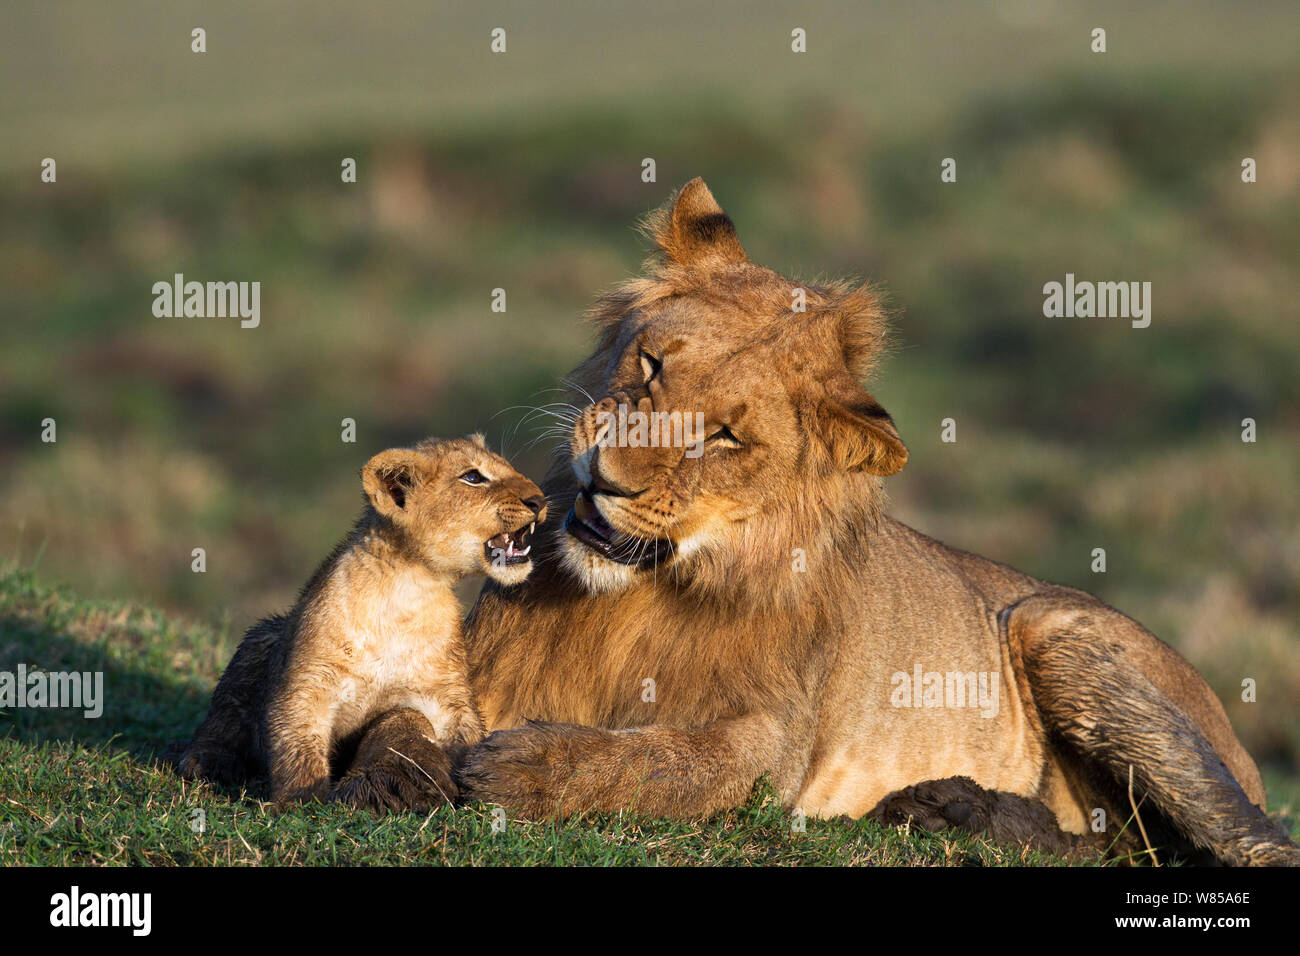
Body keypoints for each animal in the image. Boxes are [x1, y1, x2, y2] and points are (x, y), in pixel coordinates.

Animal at [174, 435, 545, 810]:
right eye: (473, 477)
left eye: (507, 467)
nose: (539, 500)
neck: (410, 588)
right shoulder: (310, 684)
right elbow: (298, 743)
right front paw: (301, 800)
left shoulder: (445, 698)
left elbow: (463, 735)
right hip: (261, 639)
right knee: (222, 716)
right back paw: (206, 761)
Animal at [349, 180, 1296, 864]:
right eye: (650, 366)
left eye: (723, 436)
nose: (605, 479)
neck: (632, 598)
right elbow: (400, 712)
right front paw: (387, 778)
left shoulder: (772, 741)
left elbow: (670, 762)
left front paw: (526, 768)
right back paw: (954, 813)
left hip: (1051, 625)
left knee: (1232, 843)